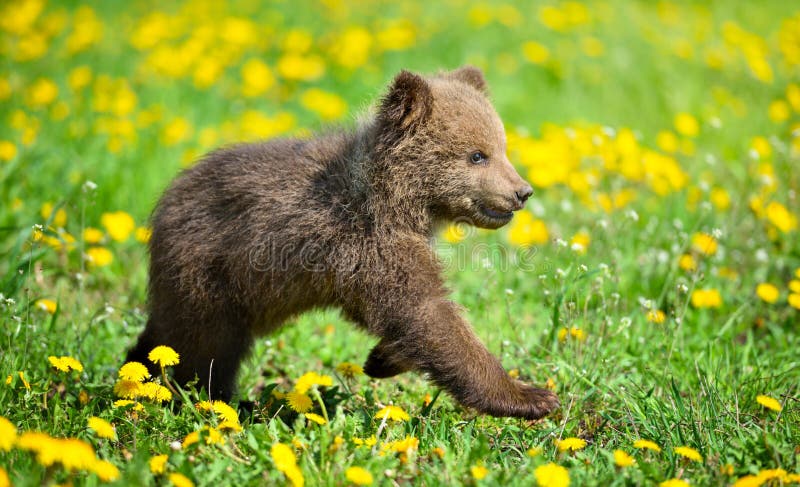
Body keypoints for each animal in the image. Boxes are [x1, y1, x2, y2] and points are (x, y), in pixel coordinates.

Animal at [125, 66, 560, 420]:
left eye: (501, 147)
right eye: (477, 155)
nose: (522, 192)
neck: (394, 200)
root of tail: (164, 204)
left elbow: (408, 319)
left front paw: (380, 359)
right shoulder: (365, 244)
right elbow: (426, 314)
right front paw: (530, 396)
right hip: (209, 277)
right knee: (202, 348)